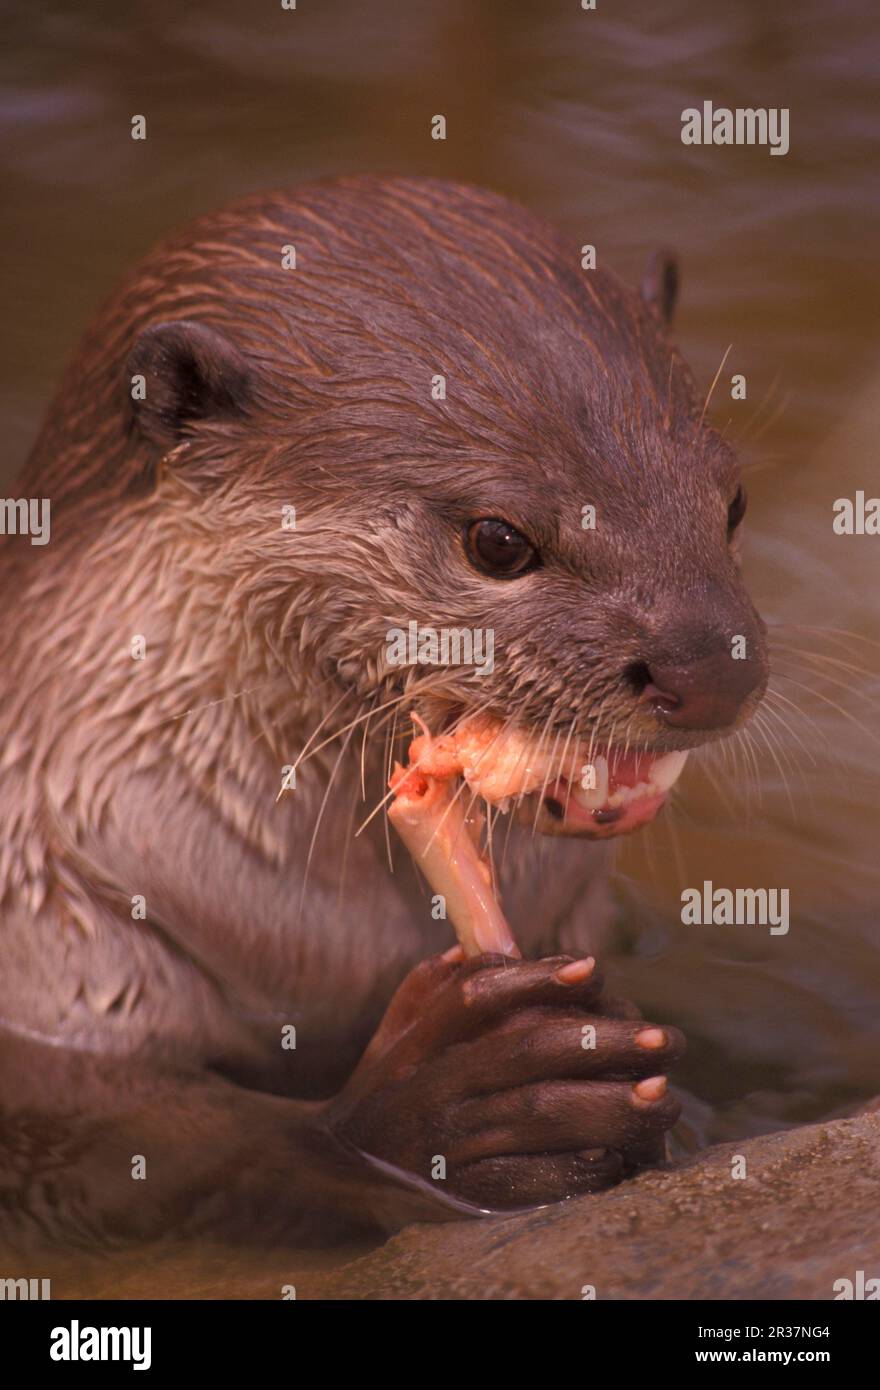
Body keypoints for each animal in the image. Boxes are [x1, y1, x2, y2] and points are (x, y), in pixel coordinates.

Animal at [0, 176, 767, 1247]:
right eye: (497, 540)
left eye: (730, 503)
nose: (709, 666)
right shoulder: (55, 938)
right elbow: (167, 1139)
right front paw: (465, 1100)